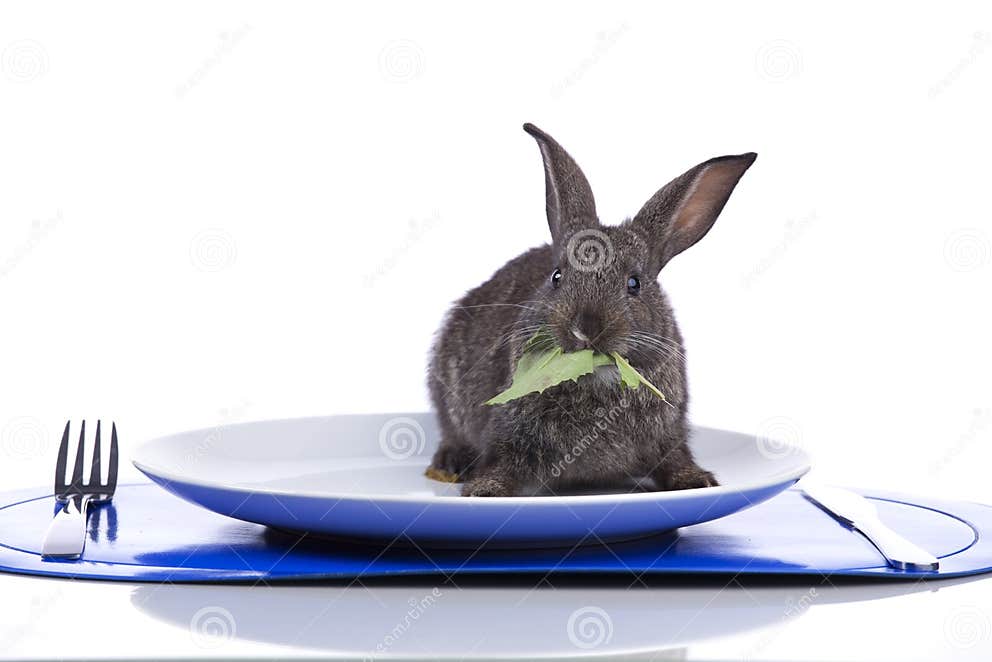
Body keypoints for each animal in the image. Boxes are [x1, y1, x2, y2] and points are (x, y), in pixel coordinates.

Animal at [427, 123, 756, 497]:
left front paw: (697, 481)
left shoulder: (669, 433)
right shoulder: (506, 431)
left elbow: (676, 458)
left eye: (634, 283)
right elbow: (501, 460)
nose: (585, 328)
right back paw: (450, 464)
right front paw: (485, 489)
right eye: (556, 277)